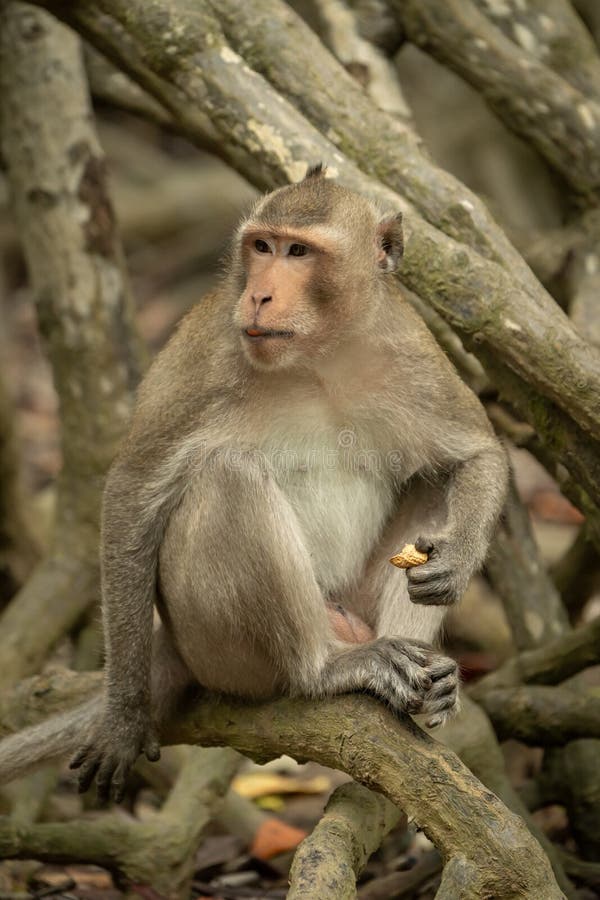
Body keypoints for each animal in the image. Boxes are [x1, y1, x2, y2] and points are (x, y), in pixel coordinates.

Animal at [0, 166, 508, 801]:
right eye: (262, 247)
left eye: (299, 252)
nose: (259, 294)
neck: (317, 356)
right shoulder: (206, 357)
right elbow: (132, 494)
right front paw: (123, 715)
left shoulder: (408, 349)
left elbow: (476, 455)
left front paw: (456, 560)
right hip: (215, 648)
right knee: (230, 474)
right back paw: (325, 669)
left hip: (353, 604)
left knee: (435, 482)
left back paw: (421, 681)